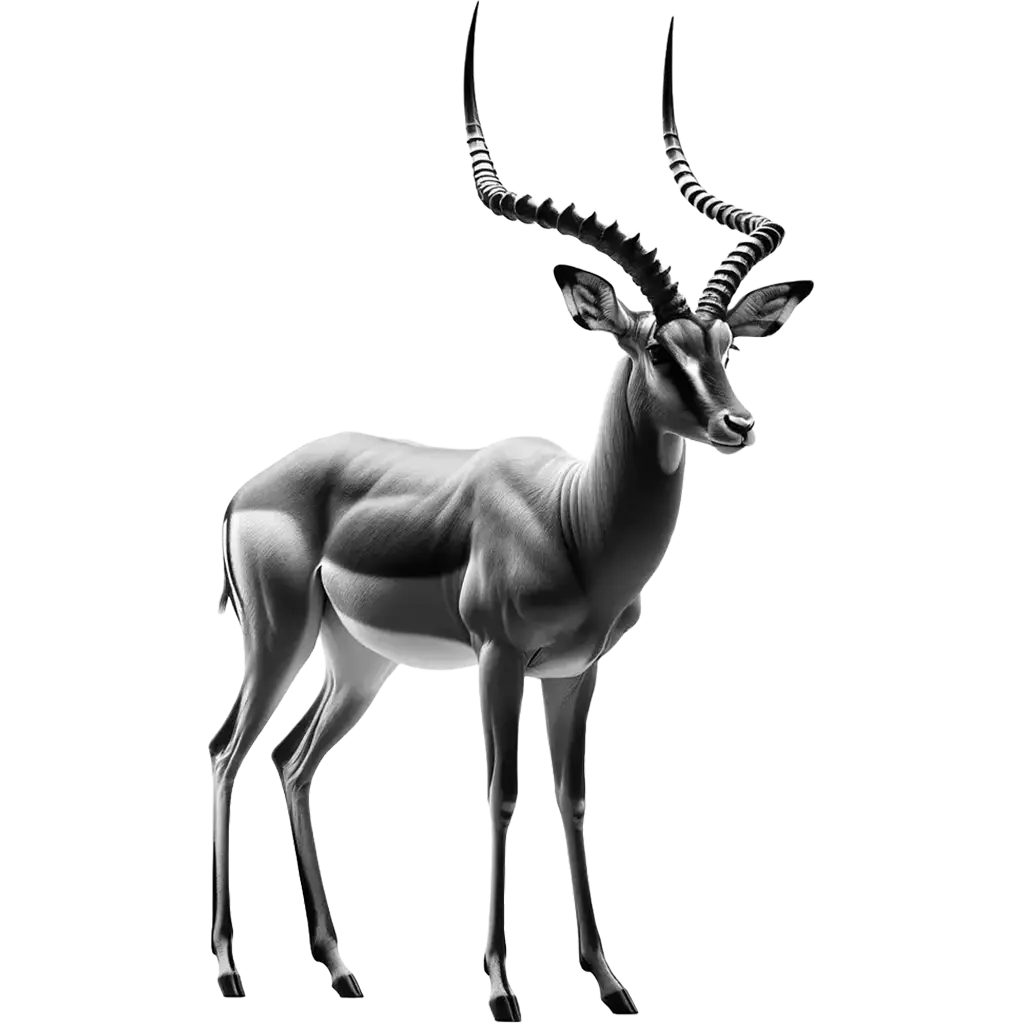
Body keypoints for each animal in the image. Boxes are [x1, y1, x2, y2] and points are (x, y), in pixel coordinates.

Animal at [208, 5, 814, 1017]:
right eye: (657, 350)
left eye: (728, 344)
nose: (737, 423)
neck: (577, 524)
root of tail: (249, 489)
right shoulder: (498, 660)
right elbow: (500, 795)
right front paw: (500, 987)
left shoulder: (574, 673)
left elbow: (573, 797)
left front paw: (610, 980)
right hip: (280, 636)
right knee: (226, 753)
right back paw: (225, 968)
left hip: (358, 662)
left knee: (292, 761)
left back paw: (341, 969)